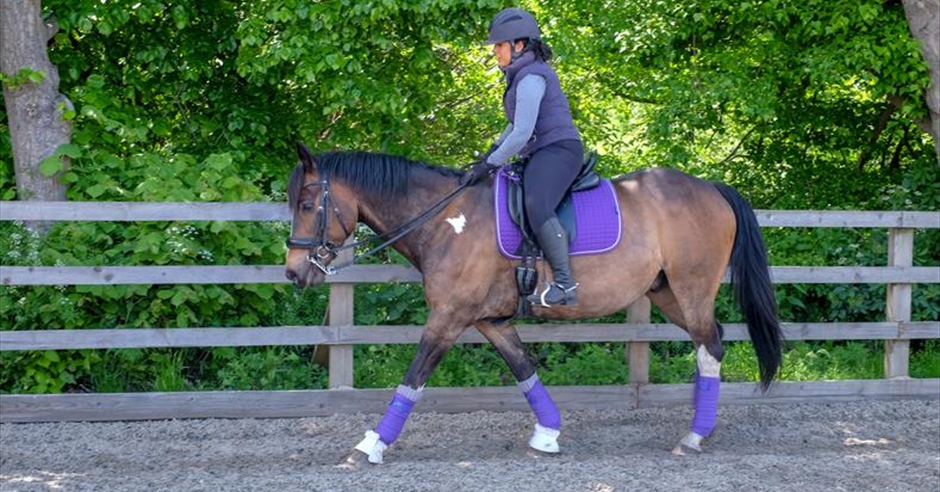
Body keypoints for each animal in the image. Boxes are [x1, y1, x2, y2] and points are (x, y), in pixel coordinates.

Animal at [285, 143, 782, 465]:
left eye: (308, 204)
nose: (293, 273)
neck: (447, 219)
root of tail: (711, 187)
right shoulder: (490, 320)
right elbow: (524, 368)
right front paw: (548, 433)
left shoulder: (448, 318)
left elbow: (414, 377)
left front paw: (371, 445)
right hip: (667, 293)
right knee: (708, 344)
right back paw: (700, 426)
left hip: (691, 287)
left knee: (709, 345)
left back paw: (694, 436)